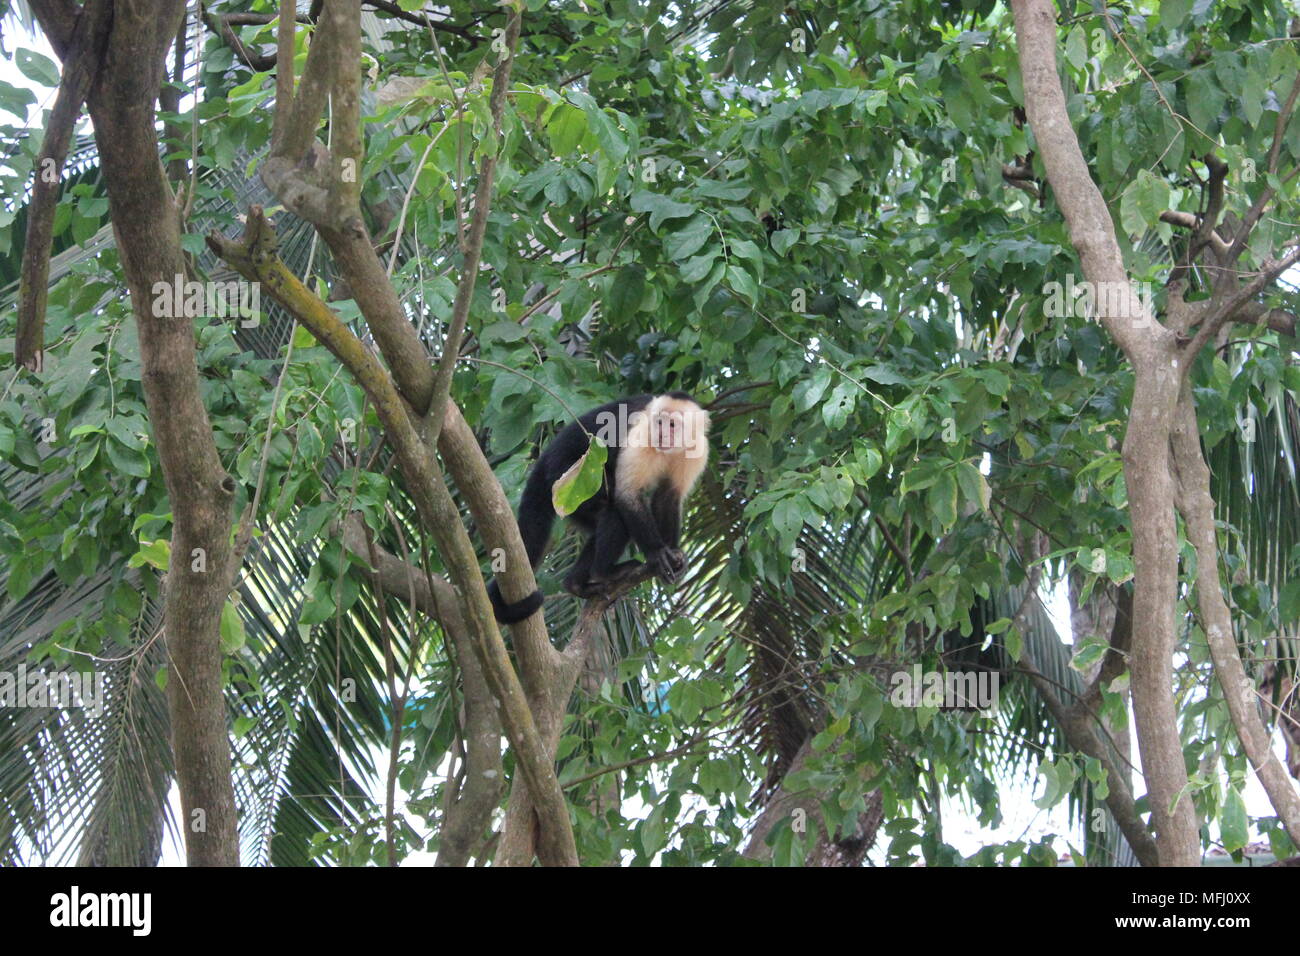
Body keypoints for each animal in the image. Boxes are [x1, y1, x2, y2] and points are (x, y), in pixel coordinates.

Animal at [488, 392, 711, 624]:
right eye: (659, 422)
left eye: (672, 425)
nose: (660, 434)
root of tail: (546, 456)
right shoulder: (641, 435)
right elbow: (627, 496)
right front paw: (657, 554)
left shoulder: (698, 450)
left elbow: (668, 498)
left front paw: (674, 554)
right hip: (568, 479)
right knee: (613, 510)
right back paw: (604, 572)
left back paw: (576, 584)